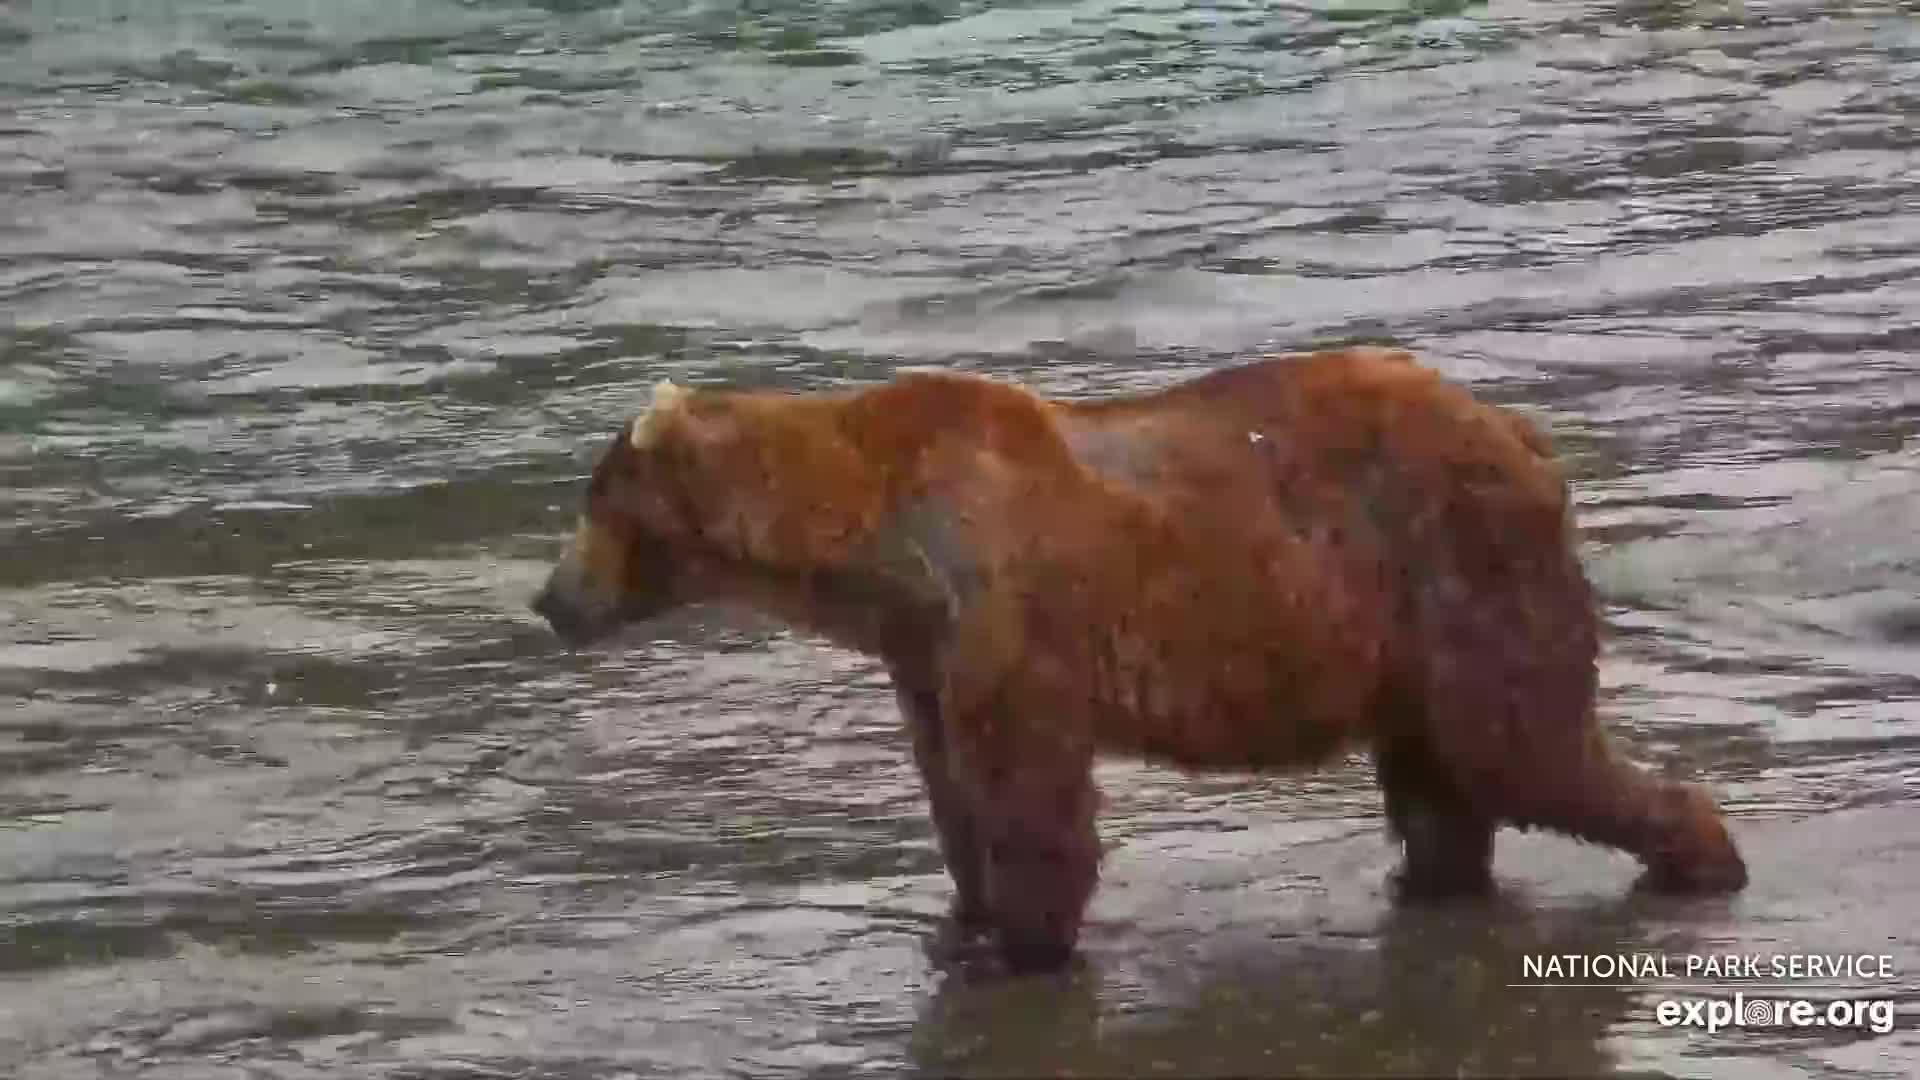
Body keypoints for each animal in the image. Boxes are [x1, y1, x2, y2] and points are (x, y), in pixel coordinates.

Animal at [530, 346, 1749, 976]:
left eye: (593, 504)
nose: (547, 600)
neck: (869, 546)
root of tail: (1525, 433)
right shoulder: (921, 650)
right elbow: (952, 789)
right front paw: (964, 917)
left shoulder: (1005, 609)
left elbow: (1033, 795)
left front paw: (1022, 944)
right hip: (1397, 633)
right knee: (1441, 784)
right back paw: (1428, 883)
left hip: (1453, 570)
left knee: (1519, 746)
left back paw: (1700, 859)